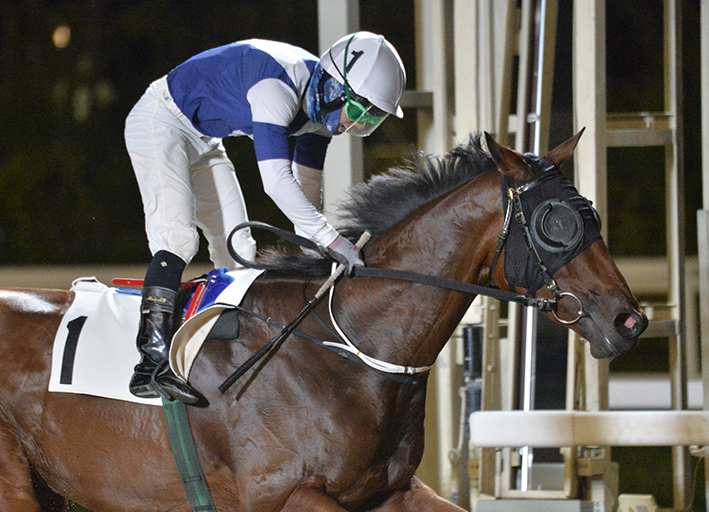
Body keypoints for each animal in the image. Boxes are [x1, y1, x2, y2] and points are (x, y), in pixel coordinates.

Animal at [0, 132, 647, 512]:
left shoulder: (388, 491)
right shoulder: (283, 495)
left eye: (591, 213)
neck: (348, 348)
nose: (629, 320)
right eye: (556, 223)